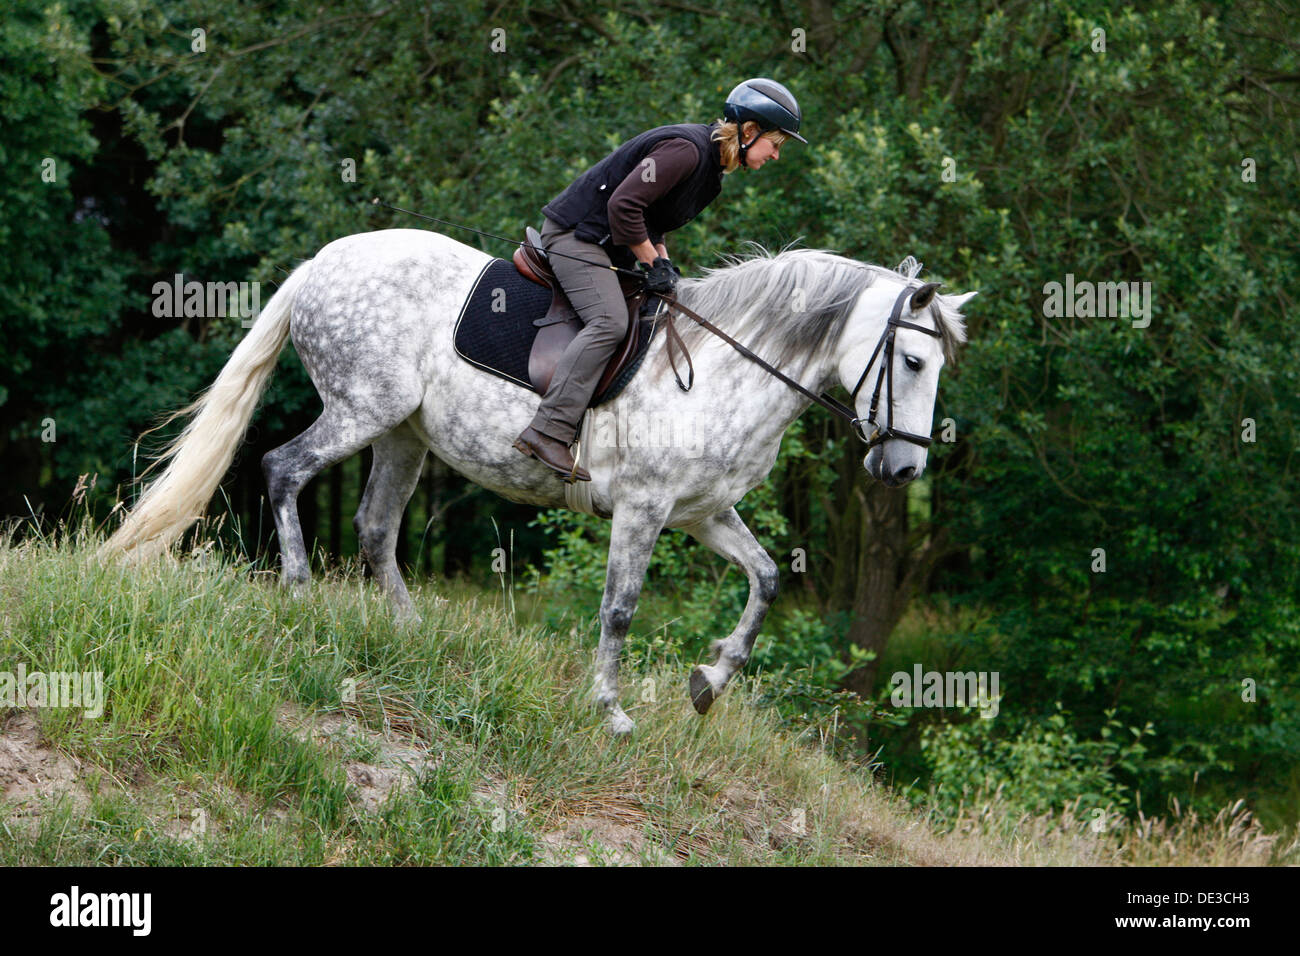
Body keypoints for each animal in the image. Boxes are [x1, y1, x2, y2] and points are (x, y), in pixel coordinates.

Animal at [100, 228, 975, 735]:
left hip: (404, 434)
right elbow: (620, 608)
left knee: (376, 528)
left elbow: (764, 581)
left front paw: (708, 681)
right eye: (913, 360)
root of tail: (324, 260)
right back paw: (298, 592)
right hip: (362, 408)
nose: (904, 469)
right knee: (282, 470)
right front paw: (611, 711)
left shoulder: (702, 512)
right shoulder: (644, 507)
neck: (730, 365)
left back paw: (410, 634)